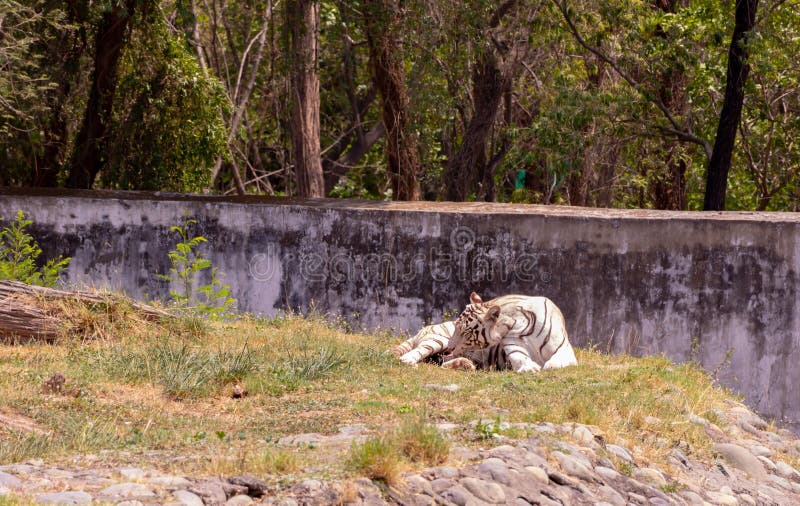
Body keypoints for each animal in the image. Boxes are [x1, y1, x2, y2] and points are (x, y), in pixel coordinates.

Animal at [444, 292, 577, 373]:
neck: (517, 320)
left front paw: (546, 367)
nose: (450, 348)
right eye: (456, 327)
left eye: (465, 333)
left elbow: (554, 363)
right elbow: (520, 358)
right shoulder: (513, 345)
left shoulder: (564, 350)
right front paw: (529, 368)